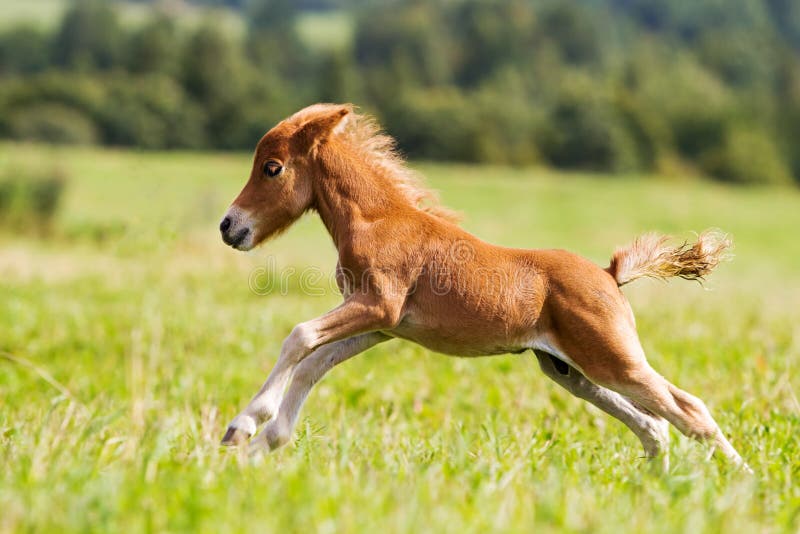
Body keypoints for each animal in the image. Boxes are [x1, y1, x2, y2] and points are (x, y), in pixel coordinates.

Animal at [218, 103, 749, 471]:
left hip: (613, 358)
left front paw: (246, 424)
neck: (378, 219)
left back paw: (743, 481)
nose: (229, 227)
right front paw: (261, 442)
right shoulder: (382, 325)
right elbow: (313, 365)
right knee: (654, 423)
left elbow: (300, 338)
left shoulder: (378, 306)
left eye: (272, 167)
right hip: (568, 369)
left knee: (688, 408)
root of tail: (608, 274)